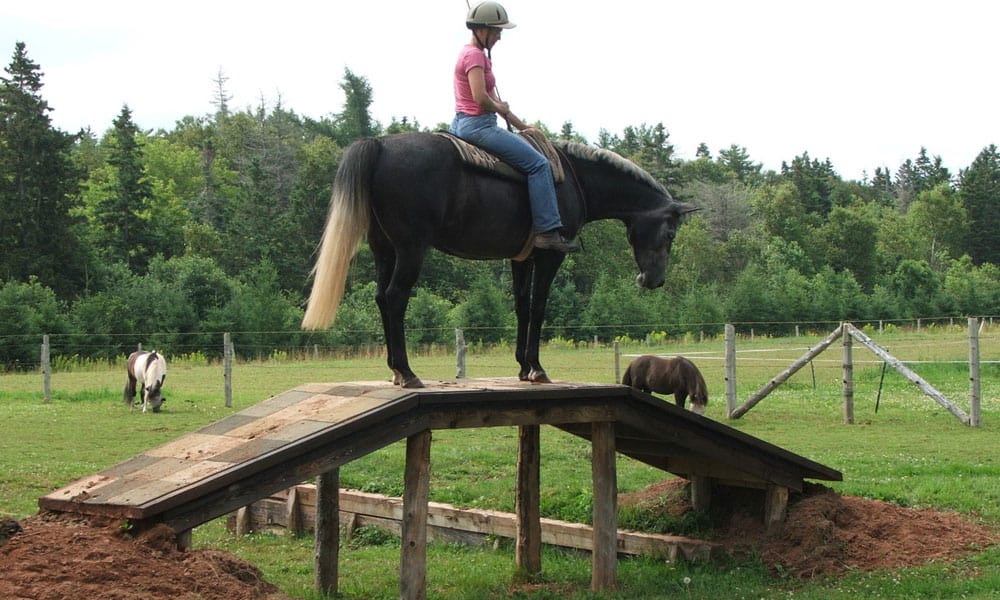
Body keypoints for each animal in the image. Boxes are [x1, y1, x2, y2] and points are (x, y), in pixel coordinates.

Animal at [302, 132, 696, 388]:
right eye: (671, 234)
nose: (654, 280)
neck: (575, 178)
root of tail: (381, 145)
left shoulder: (522, 258)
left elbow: (521, 307)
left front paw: (523, 367)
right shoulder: (550, 255)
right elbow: (538, 307)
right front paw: (537, 368)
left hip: (384, 249)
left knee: (382, 299)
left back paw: (397, 371)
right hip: (411, 248)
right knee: (396, 298)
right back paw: (409, 373)